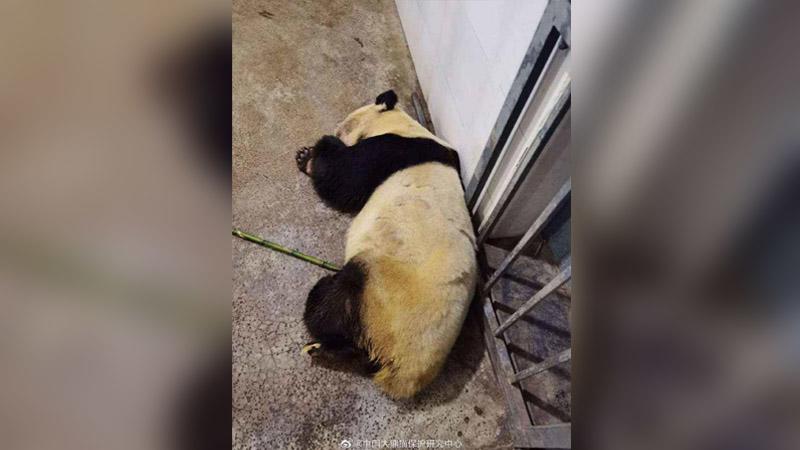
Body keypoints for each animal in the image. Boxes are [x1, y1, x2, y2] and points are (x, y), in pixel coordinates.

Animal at [295, 90, 477, 399]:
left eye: (344, 126)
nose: (337, 130)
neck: (407, 126)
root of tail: (403, 372)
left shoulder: (391, 151)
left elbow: (343, 177)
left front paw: (309, 155)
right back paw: (331, 353)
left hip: (380, 290)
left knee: (338, 300)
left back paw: (319, 312)